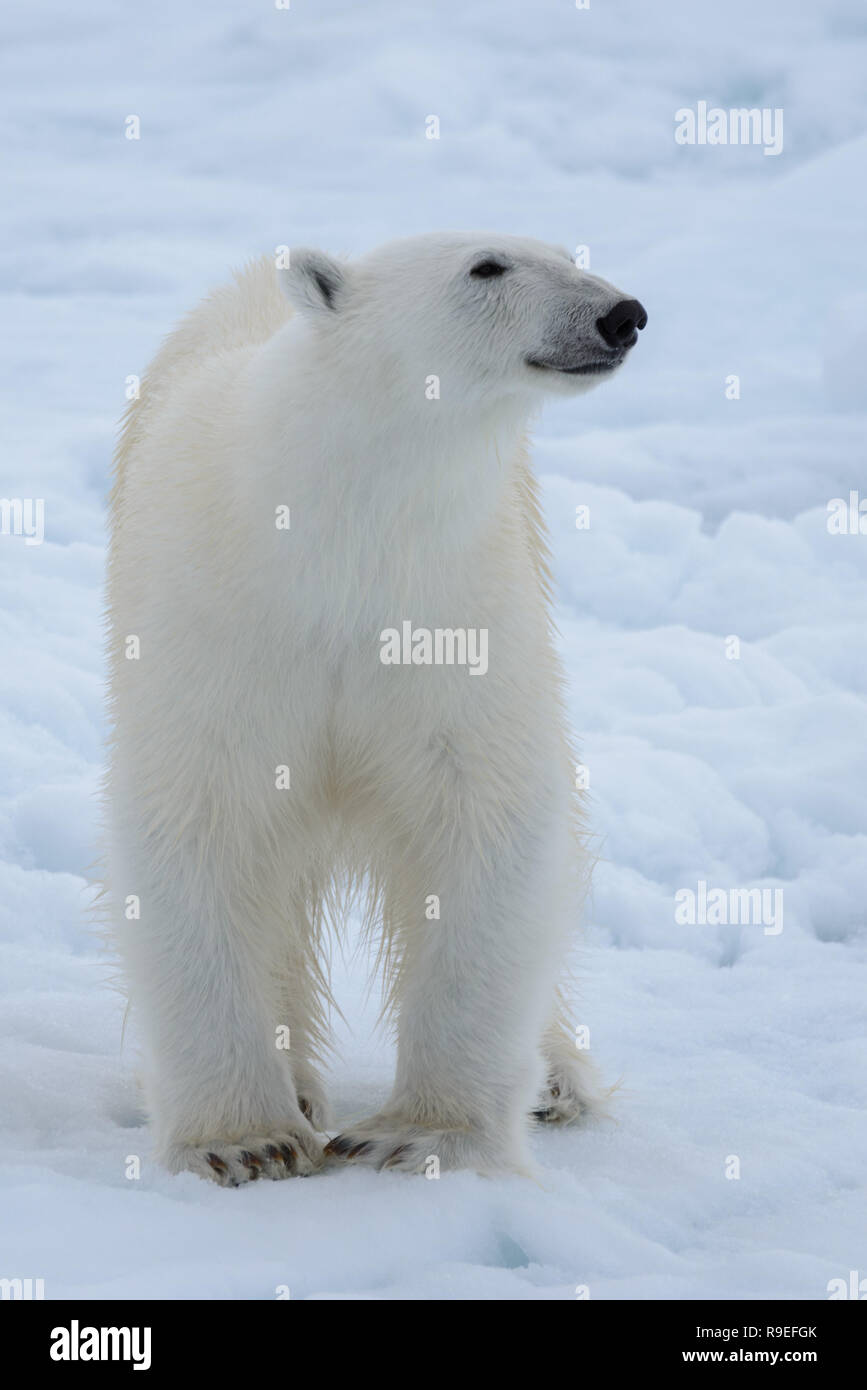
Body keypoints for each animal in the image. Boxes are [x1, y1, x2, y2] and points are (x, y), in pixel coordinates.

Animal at [105, 232, 646, 1185]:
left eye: (569, 253)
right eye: (486, 266)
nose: (621, 314)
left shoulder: (453, 603)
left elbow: (485, 816)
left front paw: (424, 1134)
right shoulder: (211, 620)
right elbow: (197, 824)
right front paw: (243, 1141)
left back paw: (558, 1080)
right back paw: (298, 1085)